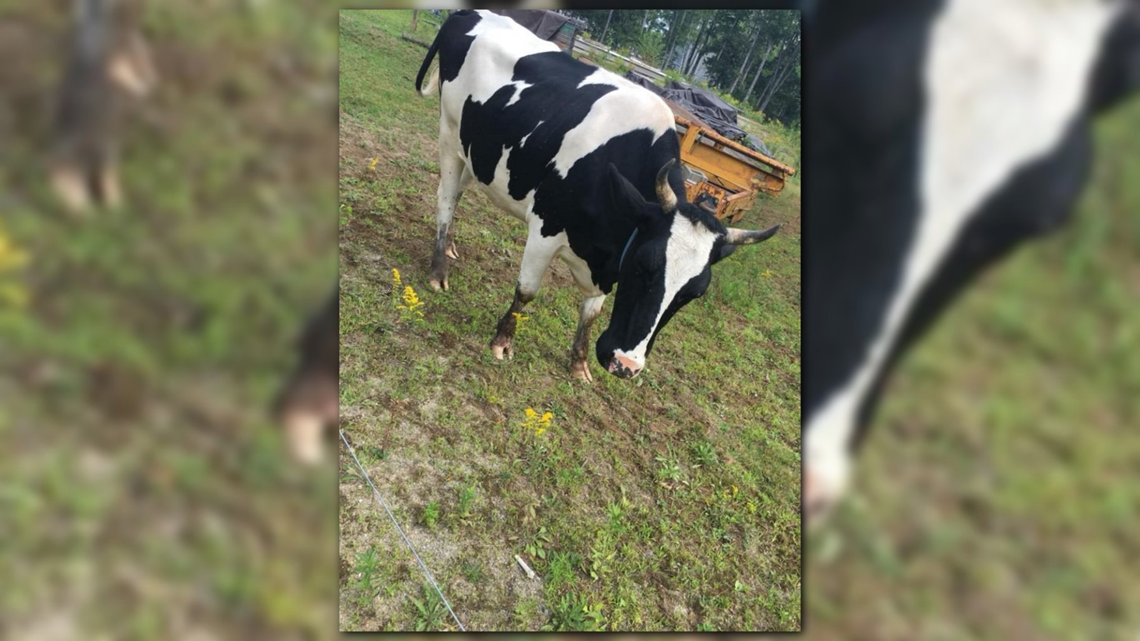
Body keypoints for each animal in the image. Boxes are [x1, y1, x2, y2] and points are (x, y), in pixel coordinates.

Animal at [415, 10, 782, 382]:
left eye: (693, 293)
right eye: (644, 264)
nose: (626, 364)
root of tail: (472, 12)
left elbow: (590, 312)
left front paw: (579, 364)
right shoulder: (545, 228)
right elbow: (527, 291)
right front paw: (502, 341)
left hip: (476, 150)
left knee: (460, 192)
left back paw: (449, 247)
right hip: (449, 133)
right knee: (446, 198)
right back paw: (439, 270)